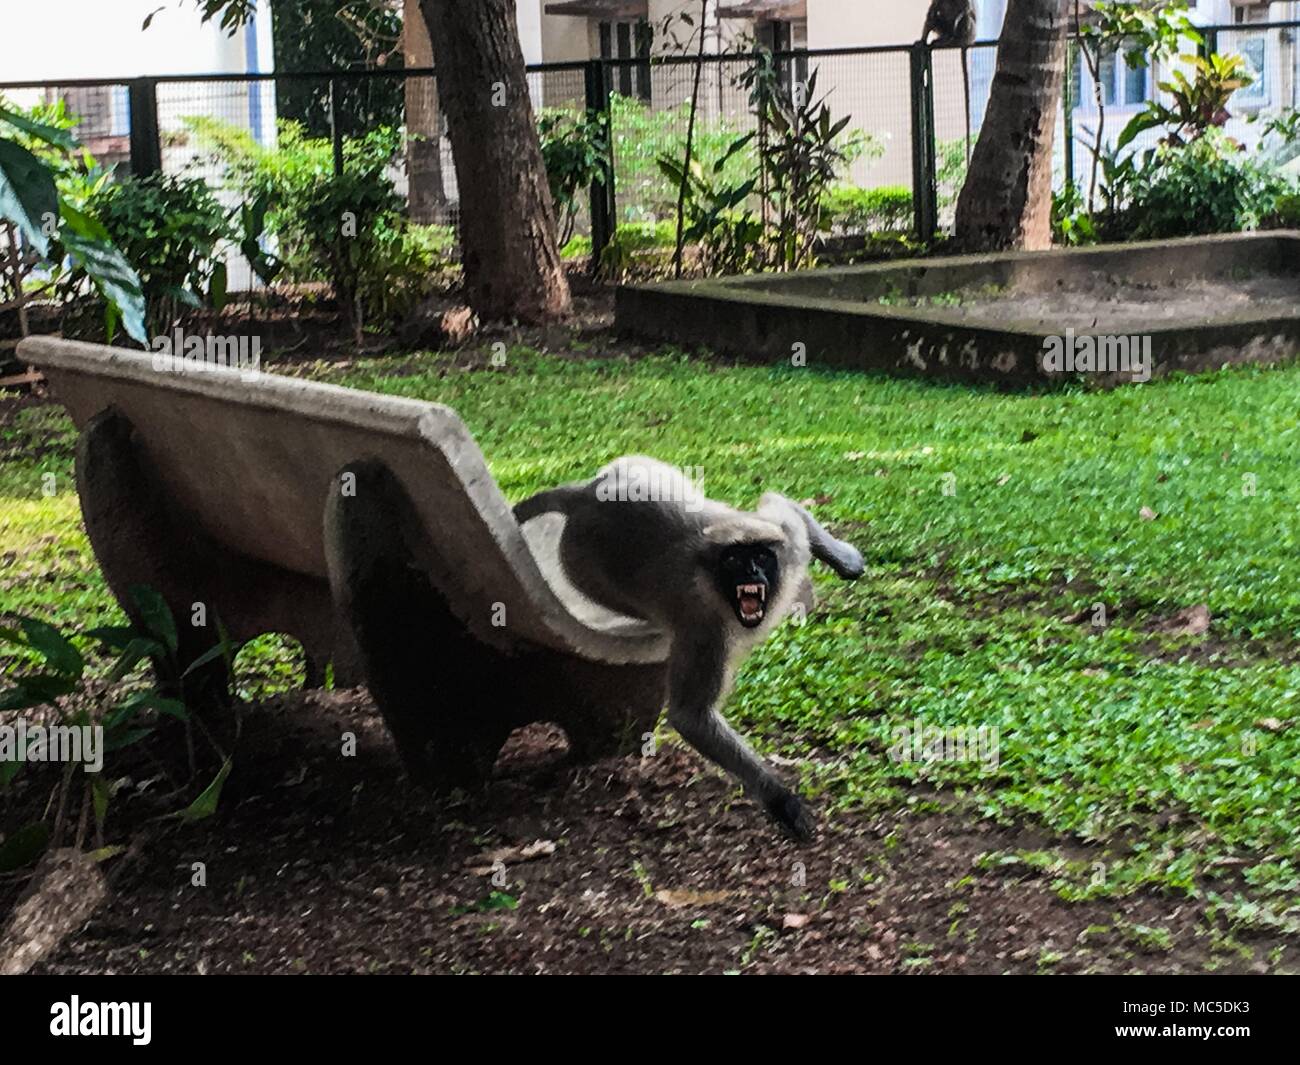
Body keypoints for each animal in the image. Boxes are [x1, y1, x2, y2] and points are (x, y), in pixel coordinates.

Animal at [514, 456, 864, 841]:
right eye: (734, 561)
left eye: (759, 557)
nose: (751, 571)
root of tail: (585, 497)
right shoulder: (702, 627)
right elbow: (690, 716)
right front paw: (781, 799)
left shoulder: (787, 546)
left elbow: (780, 504)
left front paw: (844, 558)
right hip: (584, 568)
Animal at [921, 0, 978, 167]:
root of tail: (968, 41)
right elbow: (932, 13)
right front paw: (922, 40)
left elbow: (966, 10)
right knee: (936, 17)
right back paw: (942, 39)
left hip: (969, 32)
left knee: (965, 18)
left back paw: (951, 38)